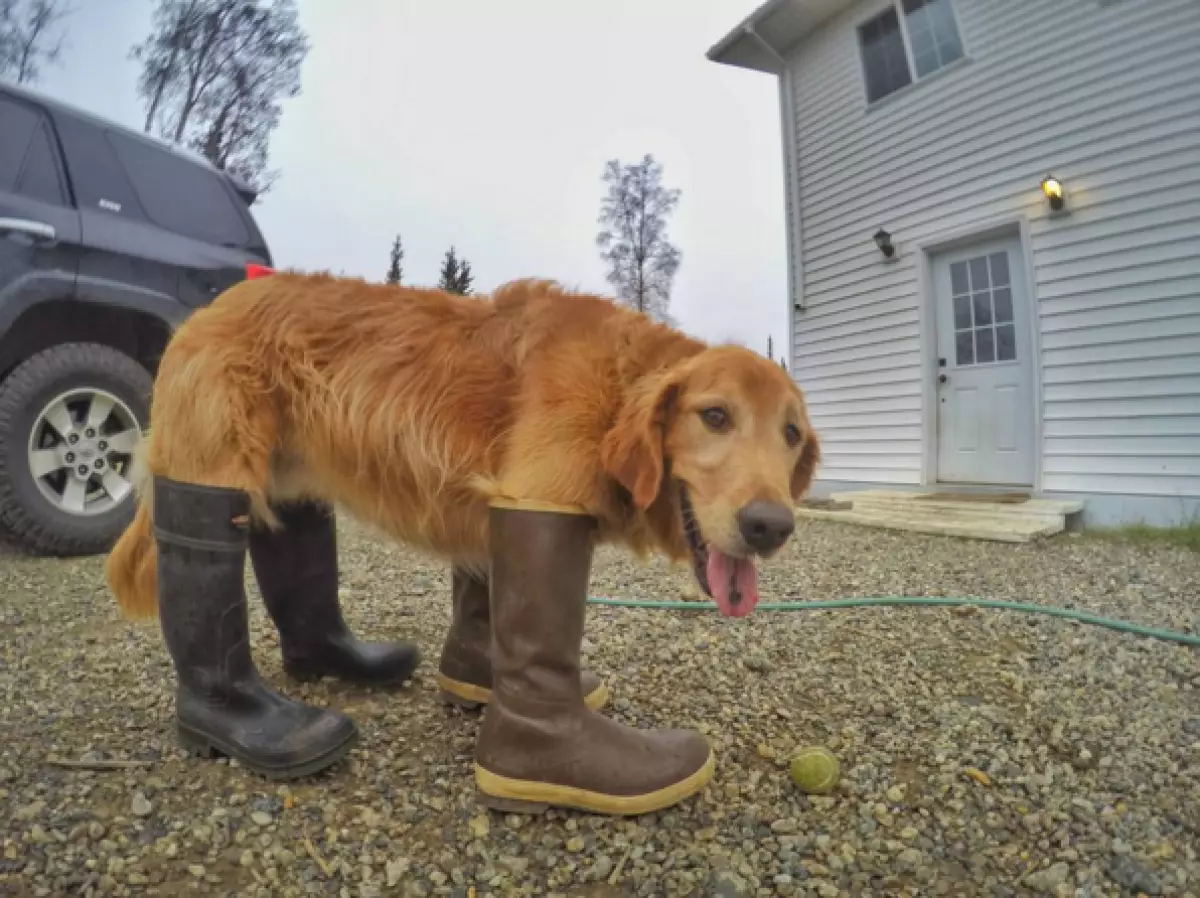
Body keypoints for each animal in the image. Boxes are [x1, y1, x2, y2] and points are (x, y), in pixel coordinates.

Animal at [108, 277, 820, 619]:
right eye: (715, 415)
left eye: (791, 434)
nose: (771, 526)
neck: (618, 383)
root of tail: (208, 307)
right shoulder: (537, 492)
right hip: (214, 460)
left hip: (281, 474)